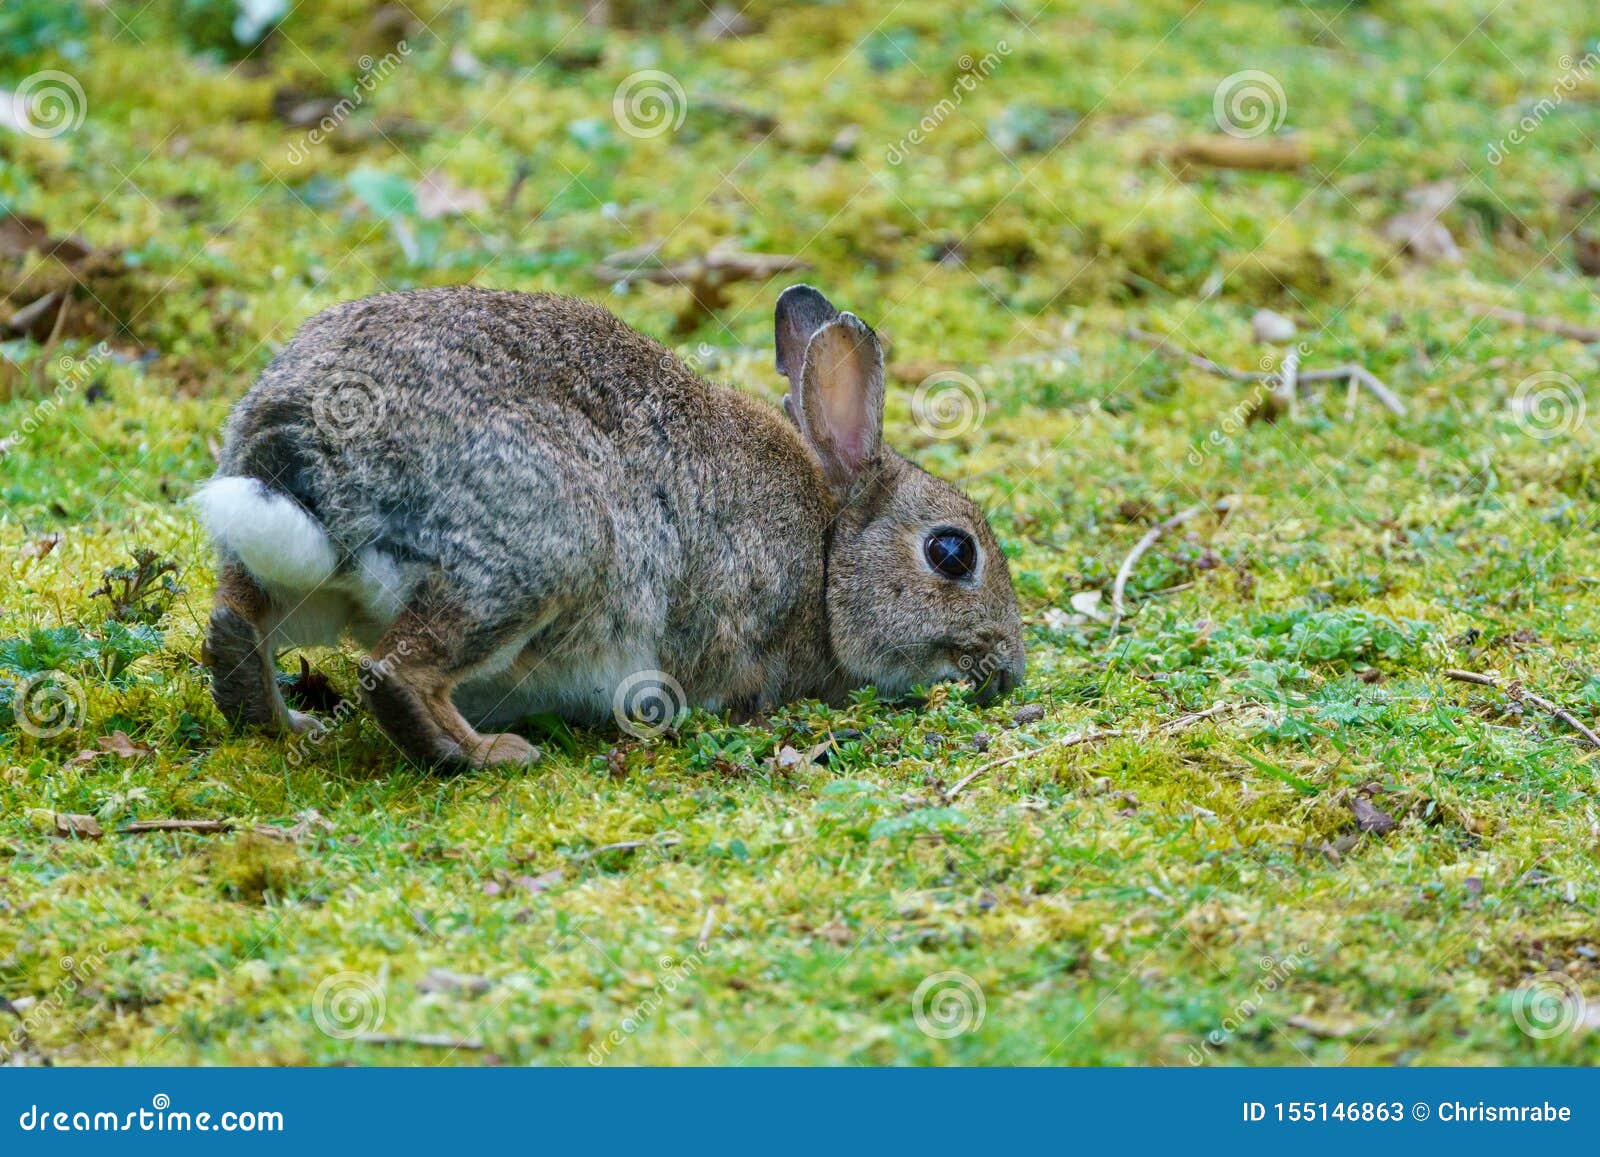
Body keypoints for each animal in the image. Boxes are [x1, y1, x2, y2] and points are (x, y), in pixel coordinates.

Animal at [194, 284, 1025, 771]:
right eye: (952, 552)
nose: (1009, 671)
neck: (826, 559)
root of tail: (308, 454)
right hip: (540, 559)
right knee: (400, 671)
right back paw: (492, 753)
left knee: (237, 621)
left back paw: (286, 725)